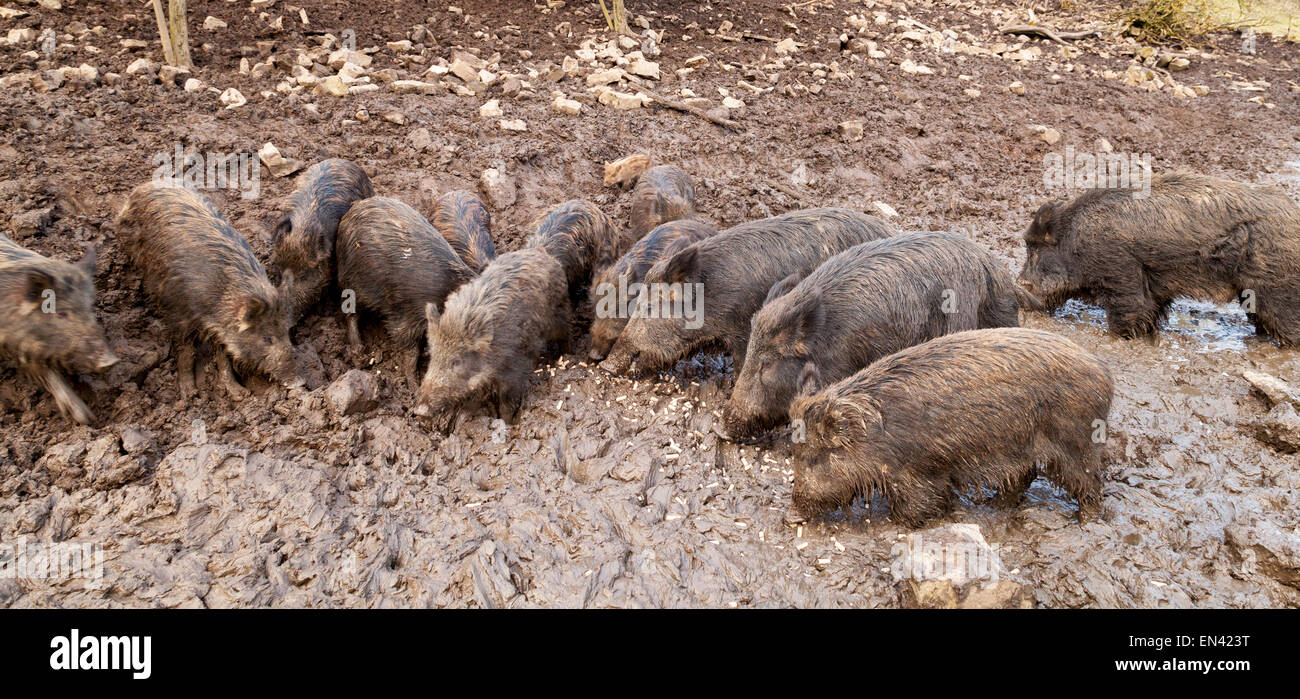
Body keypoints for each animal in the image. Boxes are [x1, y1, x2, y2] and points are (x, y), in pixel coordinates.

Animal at [115, 179, 297, 399]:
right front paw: (189, 394)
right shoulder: (178, 312)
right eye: (267, 338)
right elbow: (187, 351)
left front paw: (239, 394)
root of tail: (145, 185)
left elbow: (224, 356)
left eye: (287, 331)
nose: (300, 382)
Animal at [336, 196, 475, 383]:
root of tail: (352, 210)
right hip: (353, 281)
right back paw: (360, 355)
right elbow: (409, 351)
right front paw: (414, 384)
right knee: (351, 314)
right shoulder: (407, 317)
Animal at [415, 247, 571, 429]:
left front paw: (507, 422)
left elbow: (507, 401)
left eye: (457, 362)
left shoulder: (514, 368)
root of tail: (540, 252)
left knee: (566, 334)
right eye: (433, 356)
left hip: (561, 312)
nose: (419, 411)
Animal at [787, 328, 1113, 527]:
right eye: (794, 453)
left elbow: (914, 508)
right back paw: (994, 506)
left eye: (814, 457)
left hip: (1078, 441)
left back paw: (1086, 521)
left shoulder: (920, 470)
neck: (876, 436)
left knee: (1091, 484)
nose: (790, 516)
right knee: (1024, 476)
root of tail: (1103, 371)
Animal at [1018, 172, 1300, 346]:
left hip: (1277, 289)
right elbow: (1151, 313)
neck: (1075, 240)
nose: (1020, 286)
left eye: (1034, 249)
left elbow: (1129, 312)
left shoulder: (1120, 273)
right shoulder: (1155, 288)